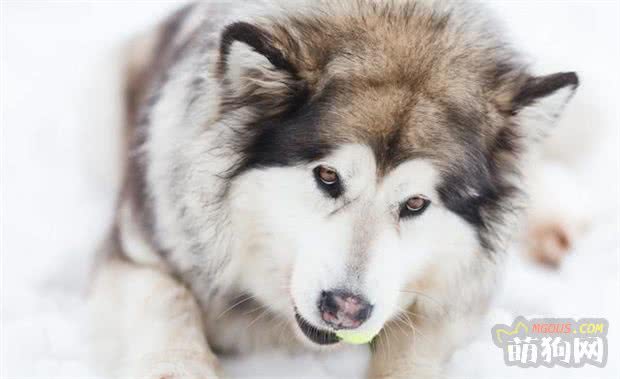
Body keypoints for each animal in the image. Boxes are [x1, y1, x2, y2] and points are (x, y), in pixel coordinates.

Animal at [89, 1, 580, 378]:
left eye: (416, 203)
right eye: (327, 177)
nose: (345, 309)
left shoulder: (456, 293)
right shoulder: (137, 250)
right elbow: (168, 300)